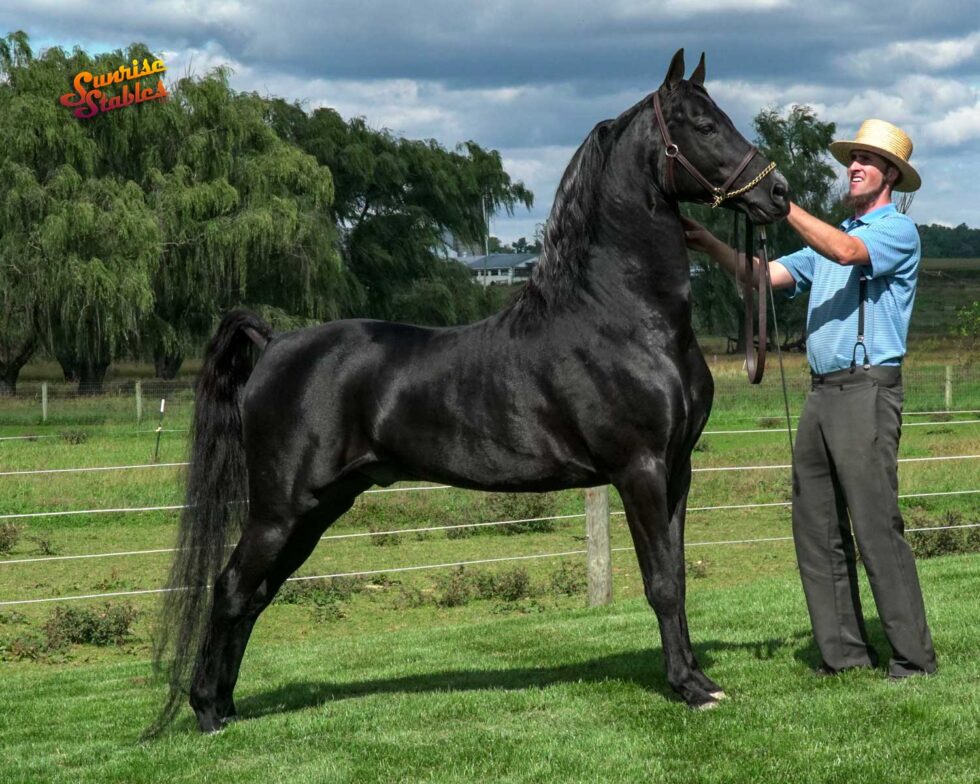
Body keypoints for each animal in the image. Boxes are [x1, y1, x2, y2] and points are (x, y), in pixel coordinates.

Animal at [149, 49, 790, 735]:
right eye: (703, 125)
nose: (778, 194)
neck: (623, 316)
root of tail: (273, 344)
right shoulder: (639, 469)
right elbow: (661, 581)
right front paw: (688, 689)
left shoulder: (677, 470)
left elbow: (678, 573)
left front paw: (699, 678)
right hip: (281, 508)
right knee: (231, 588)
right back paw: (207, 712)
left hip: (320, 507)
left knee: (255, 594)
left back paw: (226, 706)